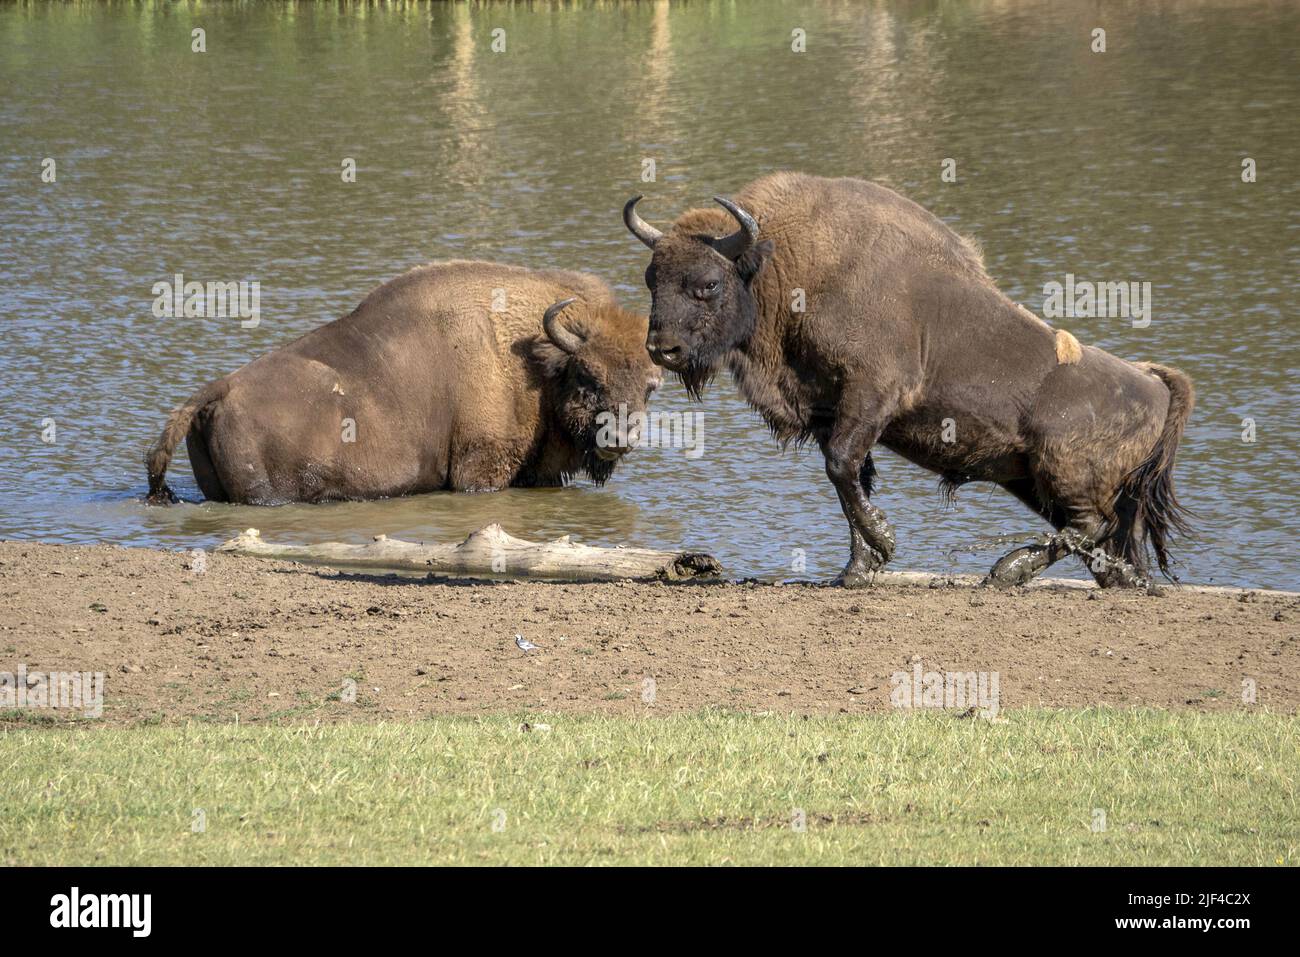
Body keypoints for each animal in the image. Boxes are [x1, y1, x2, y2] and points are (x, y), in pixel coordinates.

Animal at [146, 260, 660, 504]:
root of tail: (220, 389)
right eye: (587, 375)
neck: (534, 365)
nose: (620, 436)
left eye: (651, 386)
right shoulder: (481, 471)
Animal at [625, 172, 1193, 588]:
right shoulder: (833, 412)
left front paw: (880, 546)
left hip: (1060, 475)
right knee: (1109, 537)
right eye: (652, 278)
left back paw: (1005, 572)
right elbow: (851, 479)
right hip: (1041, 482)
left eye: (707, 283)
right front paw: (857, 570)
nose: (661, 348)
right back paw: (1122, 582)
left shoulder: (870, 397)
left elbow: (842, 467)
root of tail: (1154, 386)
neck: (789, 269)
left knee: (1091, 526)